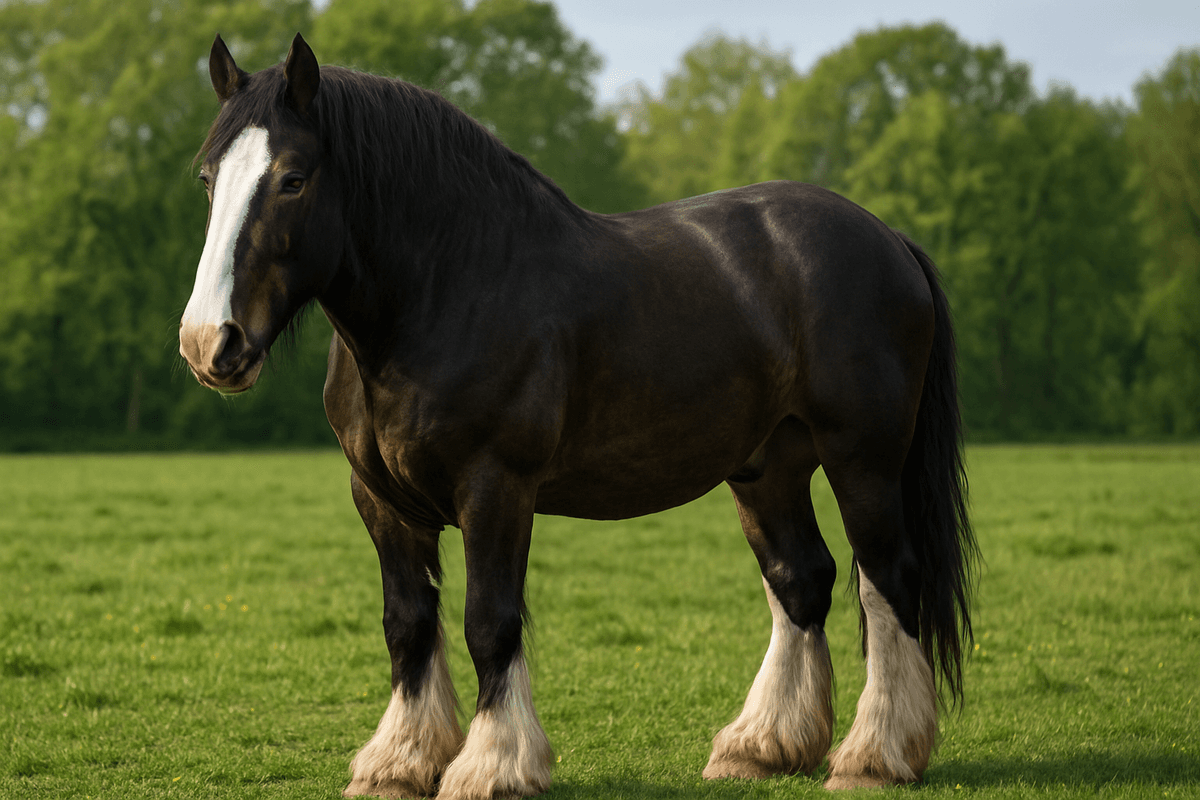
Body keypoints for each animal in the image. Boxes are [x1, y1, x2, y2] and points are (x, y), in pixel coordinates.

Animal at [179, 32, 975, 799]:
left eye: (292, 178)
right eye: (209, 179)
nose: (210, 342)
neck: (452, 286)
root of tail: (888, 239)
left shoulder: (496, 488)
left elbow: (488, 622)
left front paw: (493, 766)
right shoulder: (380, 499)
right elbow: (407, 624)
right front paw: (397, 764)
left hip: (864, 461)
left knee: (887, 582)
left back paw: (874, 757)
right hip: (766, 468)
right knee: (801, 579)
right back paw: (761, 748)